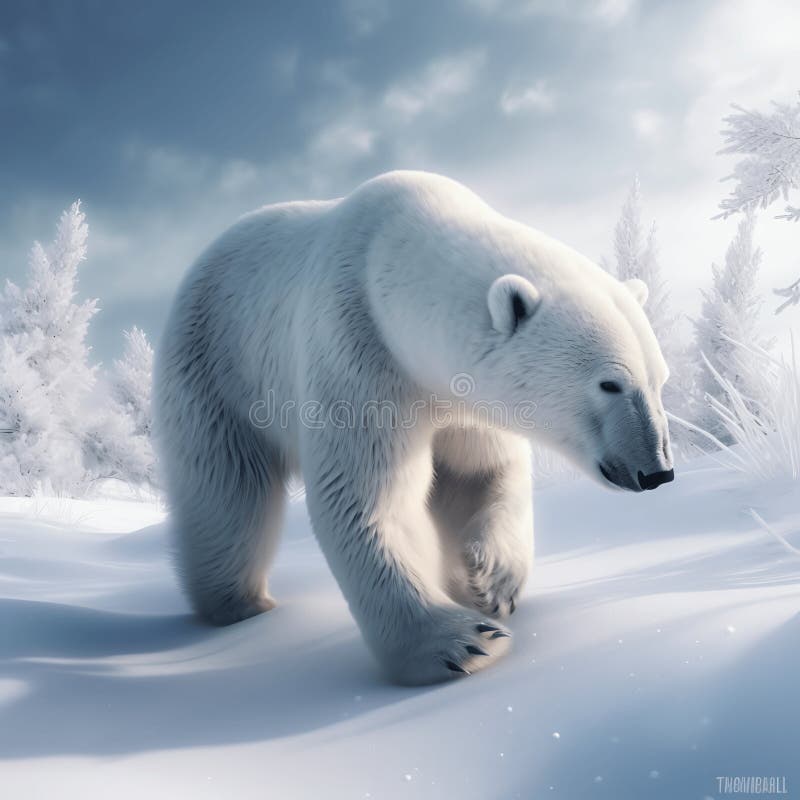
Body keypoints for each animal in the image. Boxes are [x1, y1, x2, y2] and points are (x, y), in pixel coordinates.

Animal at [153, 170, 674, 686]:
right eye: (610, 383)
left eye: (660, 379)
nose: (657, 471)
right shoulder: (356, 353)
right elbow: (366, 499)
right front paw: (463, 642)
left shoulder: (460, 398)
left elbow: (477, 474)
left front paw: (491, 581)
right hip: (215, 372)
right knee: (228, 495)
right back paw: (241, 604)